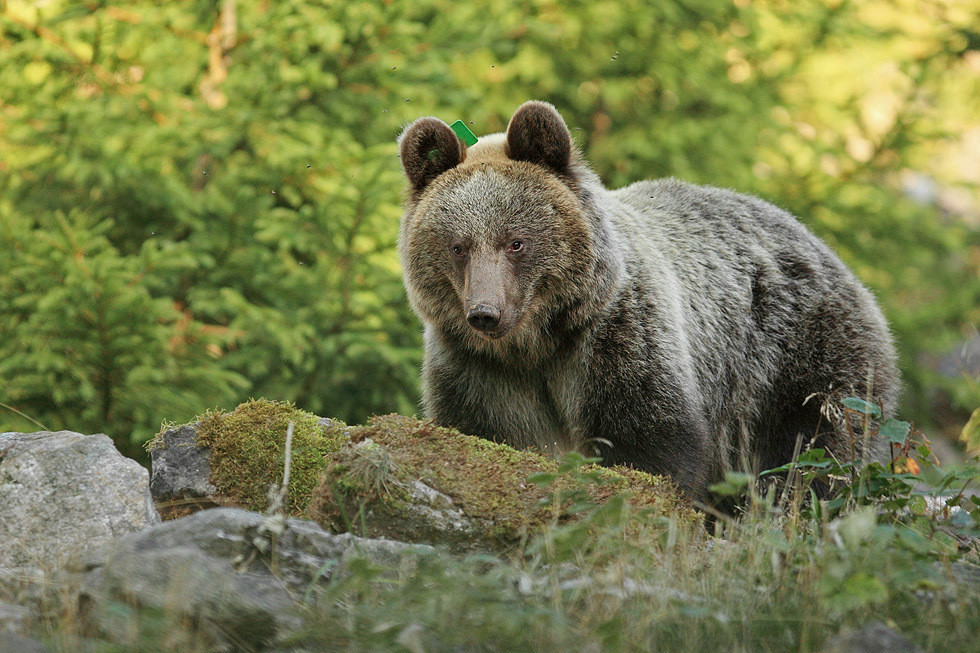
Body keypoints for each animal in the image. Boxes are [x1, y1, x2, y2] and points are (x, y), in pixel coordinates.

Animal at [396, 100, 899, 501]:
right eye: (458, 246)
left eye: (515, 242)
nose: (485, 313)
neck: (538, 343)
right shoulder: (479, 369)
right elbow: (489, 430)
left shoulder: (617, 338)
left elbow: (651, 440)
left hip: (797, 360)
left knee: (814, 453)